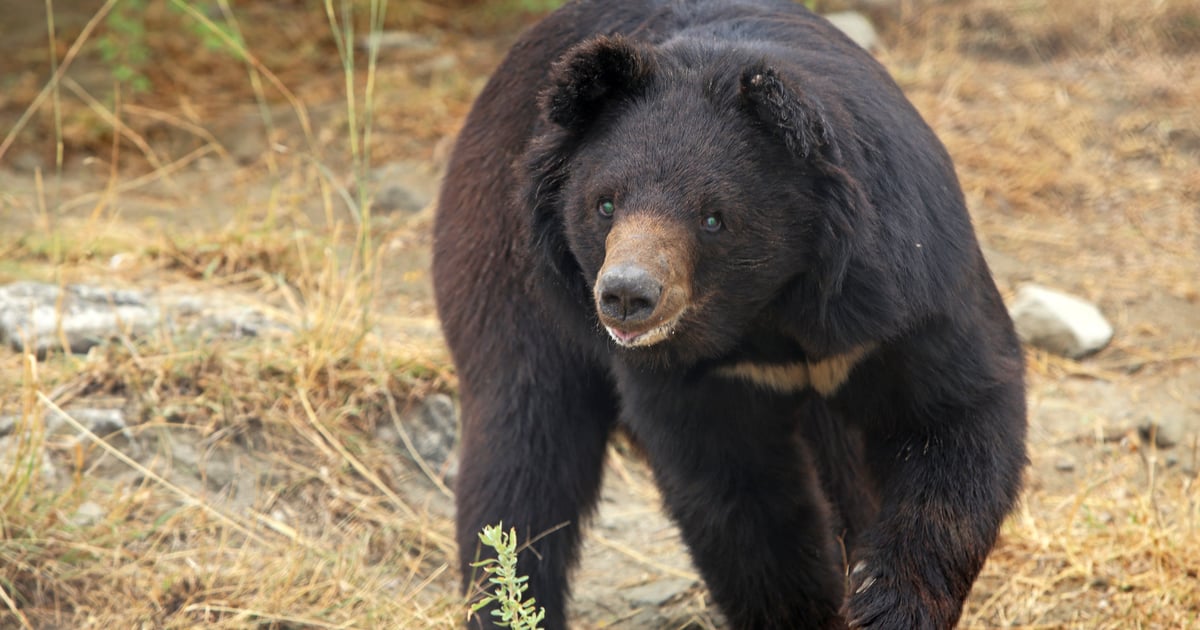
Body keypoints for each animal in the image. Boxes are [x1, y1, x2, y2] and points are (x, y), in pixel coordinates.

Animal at [432, 1, 1028, 628]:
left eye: (713, 218)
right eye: (605, 204)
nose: (626, 295)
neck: (766, 310)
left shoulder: (903, 301)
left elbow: (955, 416)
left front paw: (885, 602)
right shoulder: (698, 380)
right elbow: (737, 495)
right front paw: (808, 611)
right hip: (508, 269)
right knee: (524, 448)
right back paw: (508, 602)